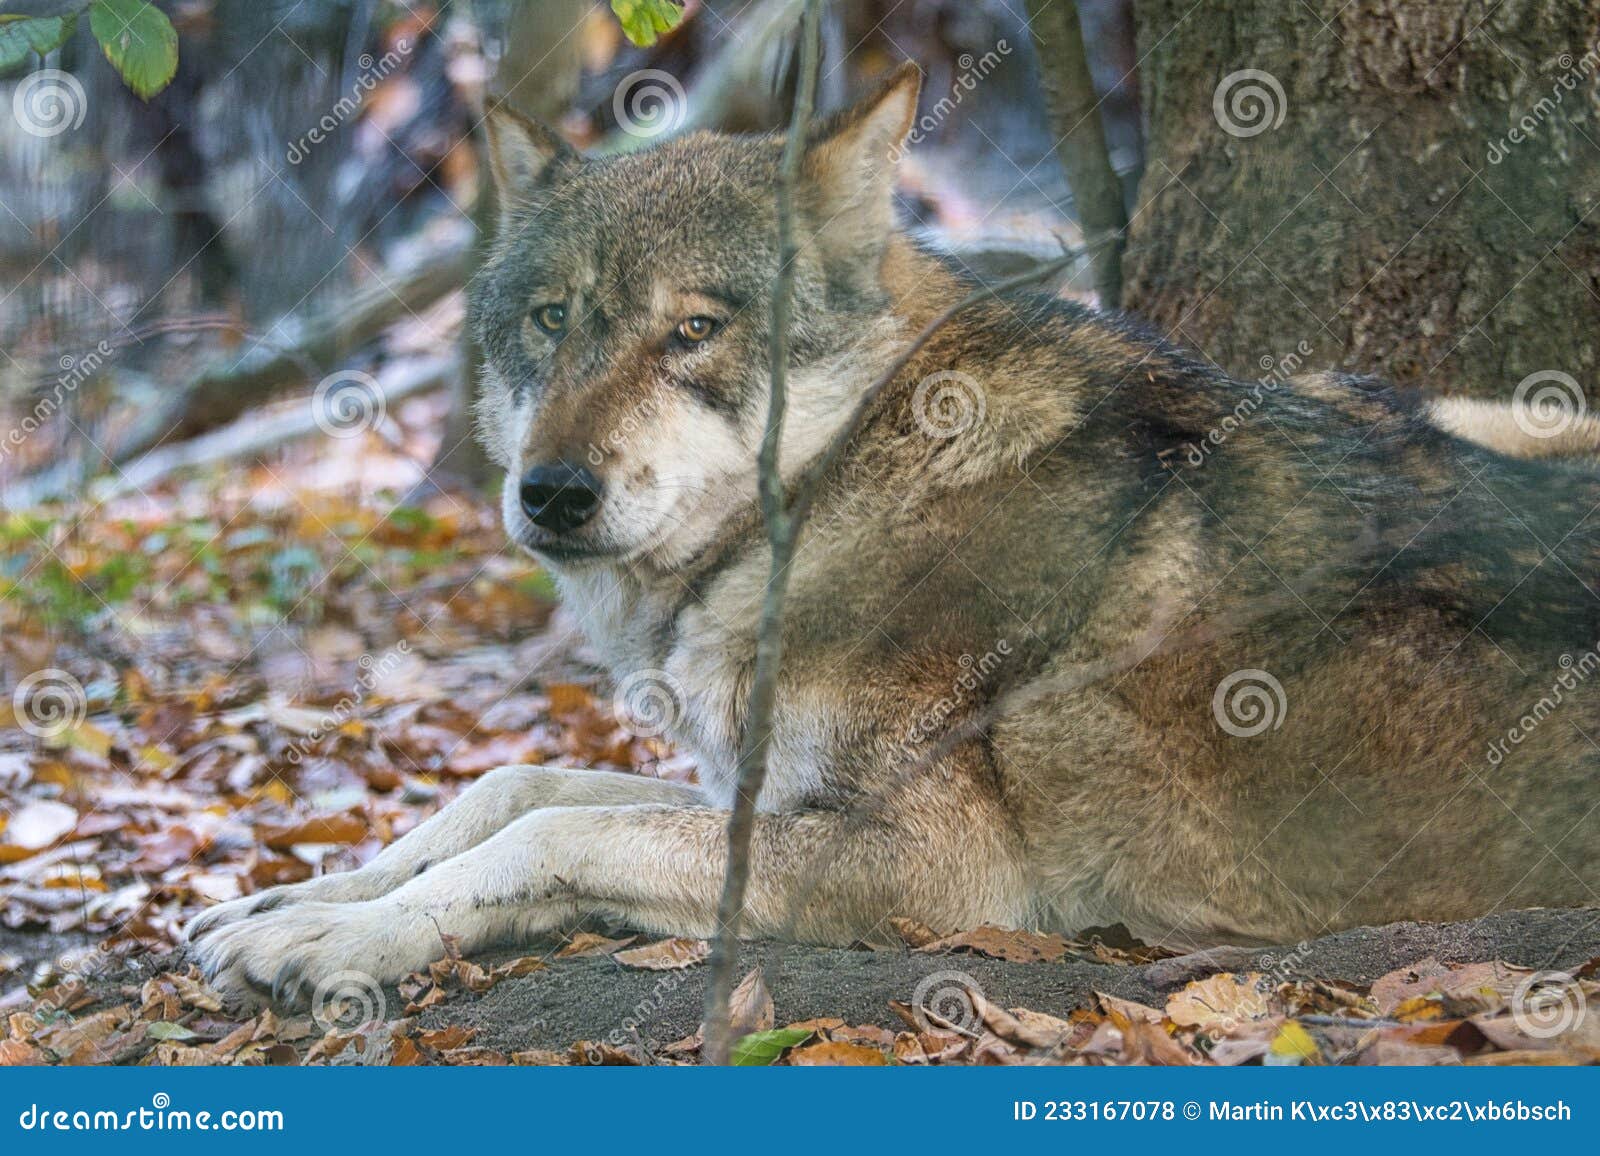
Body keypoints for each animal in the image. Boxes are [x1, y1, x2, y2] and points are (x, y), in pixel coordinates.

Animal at [189, 66, 1600, 1007]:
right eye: (550, 321)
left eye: (693, 330)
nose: (551, 494)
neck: (844, 480)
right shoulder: (760, 785)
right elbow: (511, 787)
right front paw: (286, 896)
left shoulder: (944, 872)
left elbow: (551, 833)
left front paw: (330, 940)